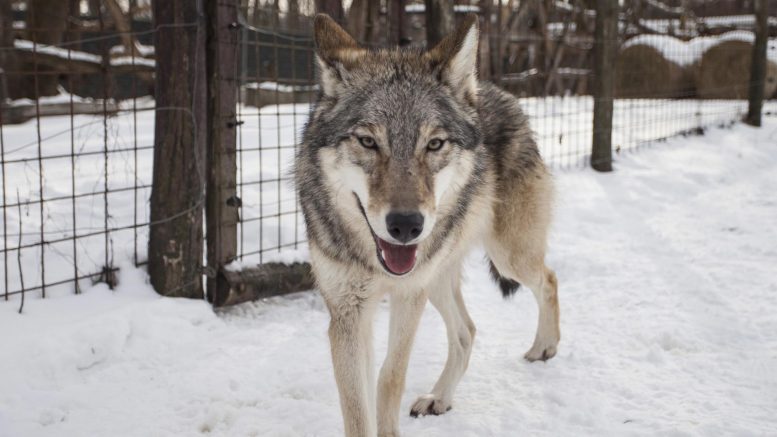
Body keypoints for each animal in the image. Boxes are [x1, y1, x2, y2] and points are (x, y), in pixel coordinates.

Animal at [295, 13, 560, 437]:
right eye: (368, 142)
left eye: (434, 144)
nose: (406, 225)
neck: (376, 265)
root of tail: (492, 91)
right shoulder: (348, 312)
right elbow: (355, 402)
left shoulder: (408, 296)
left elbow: (389, 379)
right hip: (437, 278)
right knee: (467, 331)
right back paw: (439, 398)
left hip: (506, 258)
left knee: (549, 280)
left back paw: (544, 348)